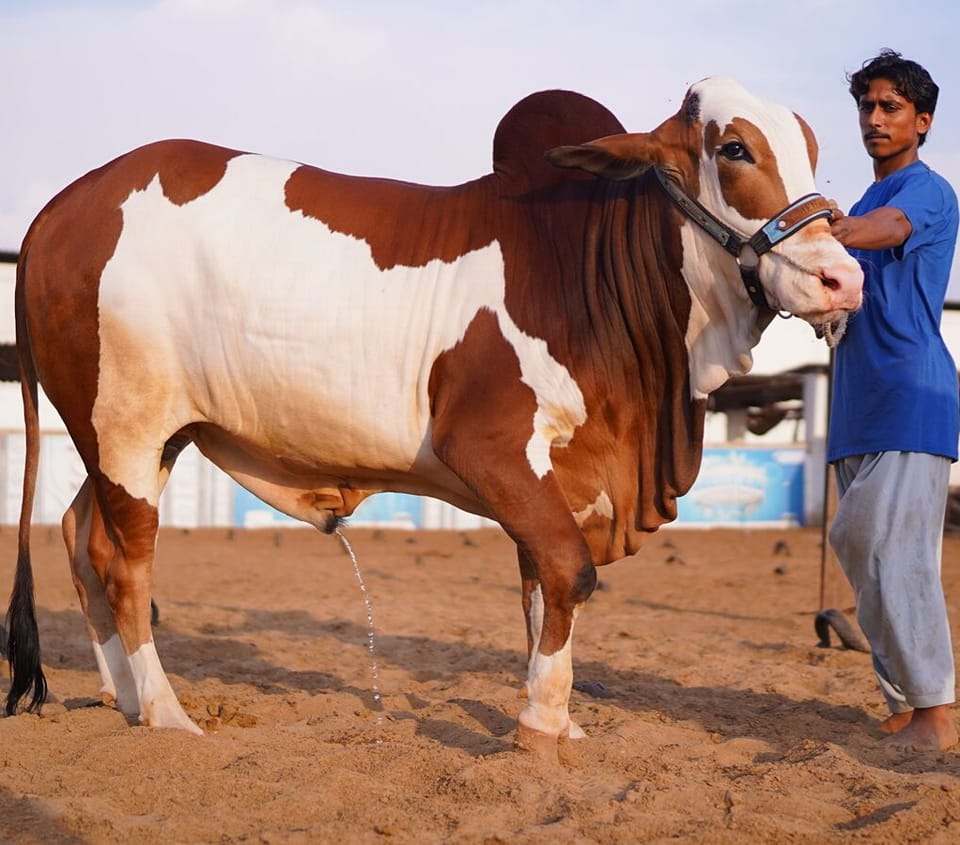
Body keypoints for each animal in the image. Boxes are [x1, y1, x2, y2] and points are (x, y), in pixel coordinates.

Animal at [5, 78, 862, 754]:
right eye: (735, 150)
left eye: (814, 148)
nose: (841, 278)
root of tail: (63, 204)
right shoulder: (488, 442)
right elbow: (569, 569)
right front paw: (540, 725)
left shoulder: (557, 471)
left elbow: (537, 586)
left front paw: (559, 716)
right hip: (126, 430)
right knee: (126, 560)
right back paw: (164, 711)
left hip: (141, 440)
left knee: (80, 535)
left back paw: (122, 697)